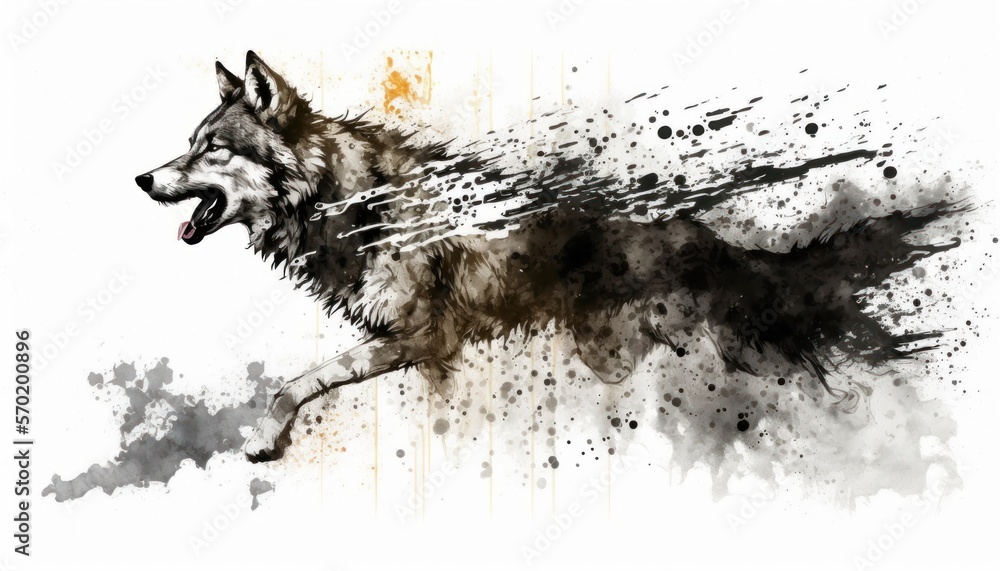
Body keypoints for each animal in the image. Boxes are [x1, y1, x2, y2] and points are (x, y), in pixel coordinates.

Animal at [135, 51, 962, 462]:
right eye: (187, 143)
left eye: (210, 148)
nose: (142, 179)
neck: (342, 199)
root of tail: (712, 238)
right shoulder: (423, 344)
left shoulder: (423, 335)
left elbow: (294, 382)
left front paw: (262, 438)